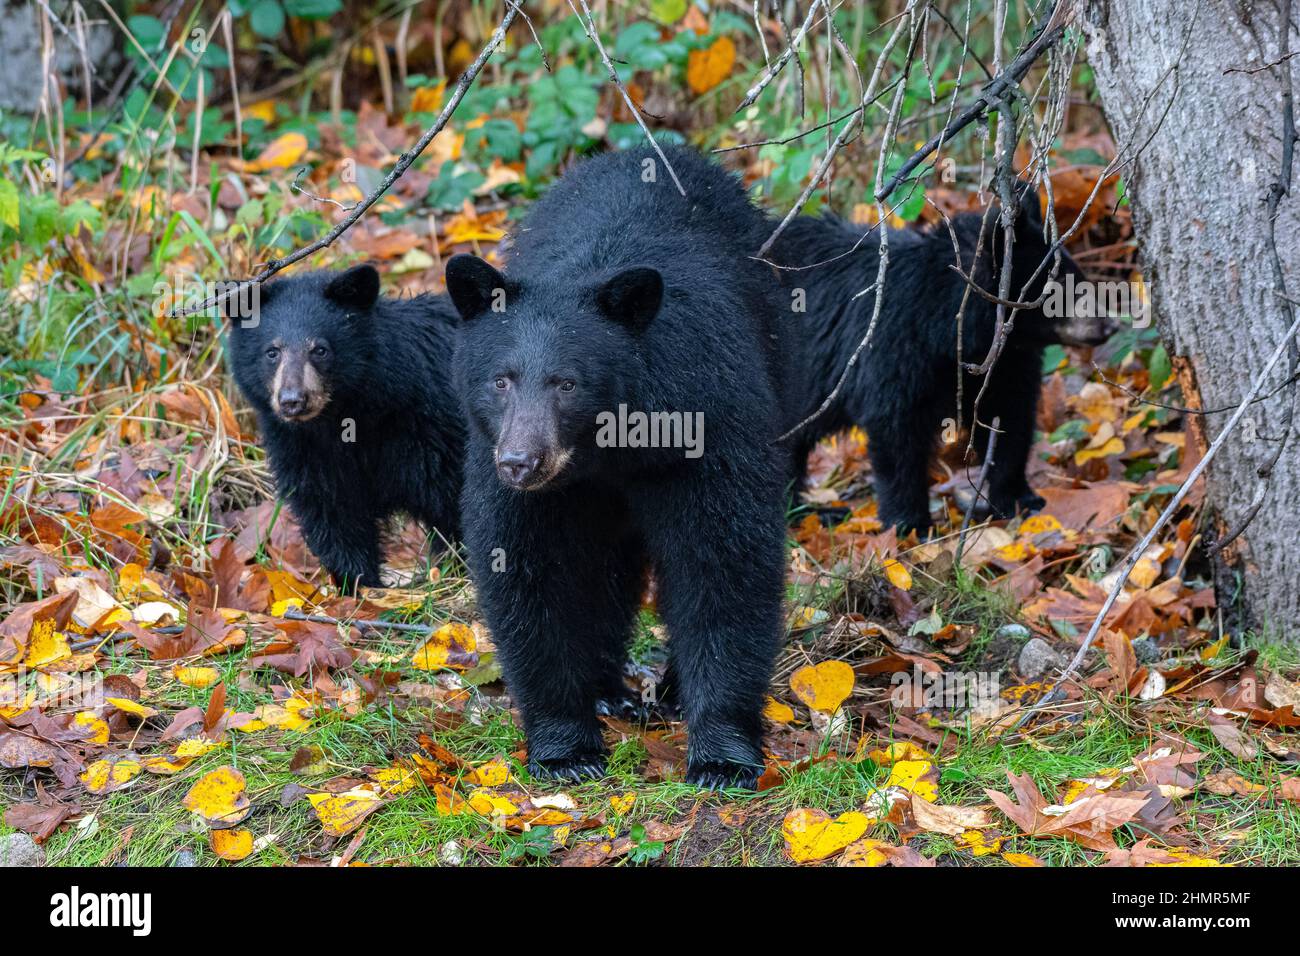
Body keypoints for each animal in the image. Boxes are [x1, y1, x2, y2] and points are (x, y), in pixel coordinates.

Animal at [225, 264, 464, 590]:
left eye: (320, 350)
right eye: (272, 351)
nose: (292, 400)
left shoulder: (430, 430)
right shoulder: (303, 449)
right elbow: (333, 513)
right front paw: (359, 585)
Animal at [444, 145, 789, 789]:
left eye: (567, 383)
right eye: (501, 380)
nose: (520, 463)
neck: (609, 451)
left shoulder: (708, 422)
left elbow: (724, 560)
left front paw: (722, 755)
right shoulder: (505, 468)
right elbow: (528, 568)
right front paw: (566, 748)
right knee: (602, 567)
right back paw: (608, 690)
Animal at [771, 192, 1115, 534]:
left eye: (1079, 278)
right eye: (1059, 289)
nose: (1109, 326)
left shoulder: (1005, 363)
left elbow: (1011, 419)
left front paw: (1020, 500)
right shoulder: (894, 351)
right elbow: (896, 431)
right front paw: (909, 524)